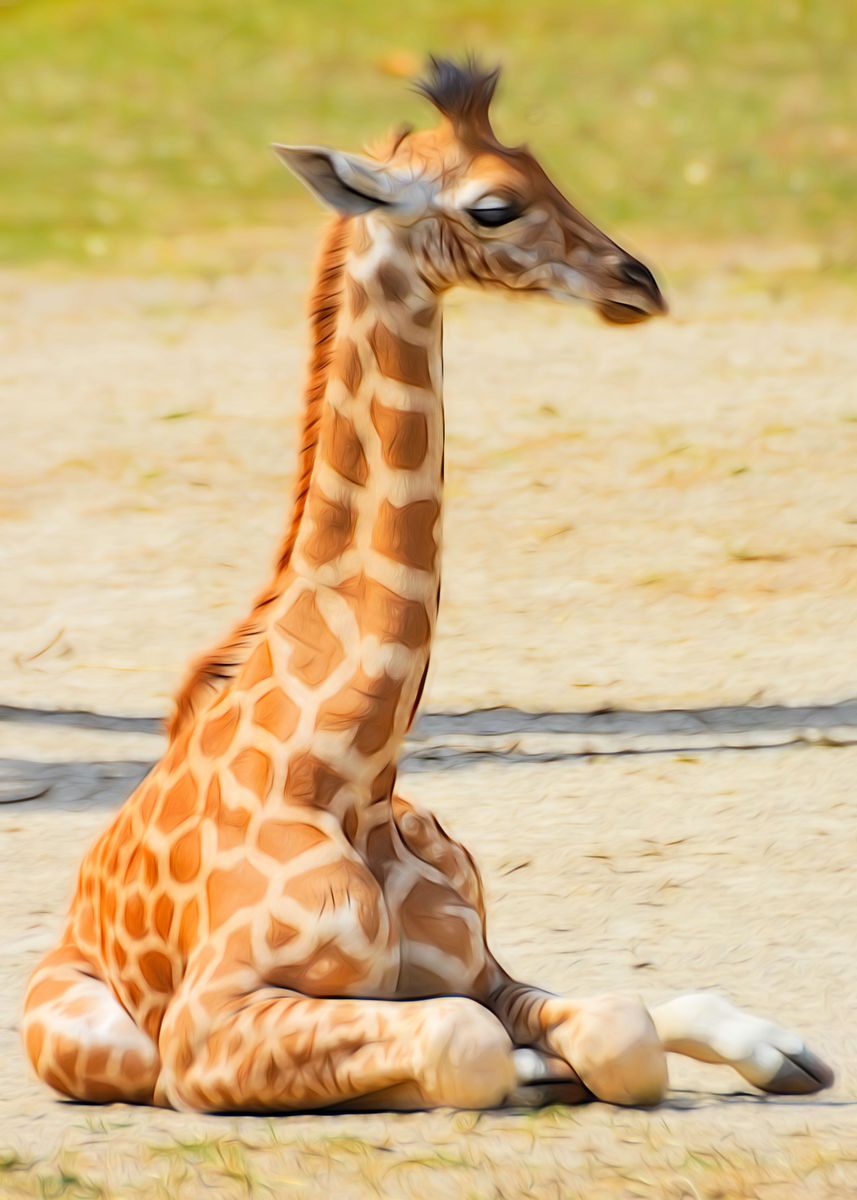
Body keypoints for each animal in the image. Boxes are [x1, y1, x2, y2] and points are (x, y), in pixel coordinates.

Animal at [23, 58, 833, 1113]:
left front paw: (572, 1063)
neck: (351, 773)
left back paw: (787, 1052)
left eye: (546, 168)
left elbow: (611, 1031)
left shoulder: (479, 966)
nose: (637, 281)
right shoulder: (201, 1034)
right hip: (86, 1040)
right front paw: (524, 1072)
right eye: (494, 205)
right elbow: (467, 1044)